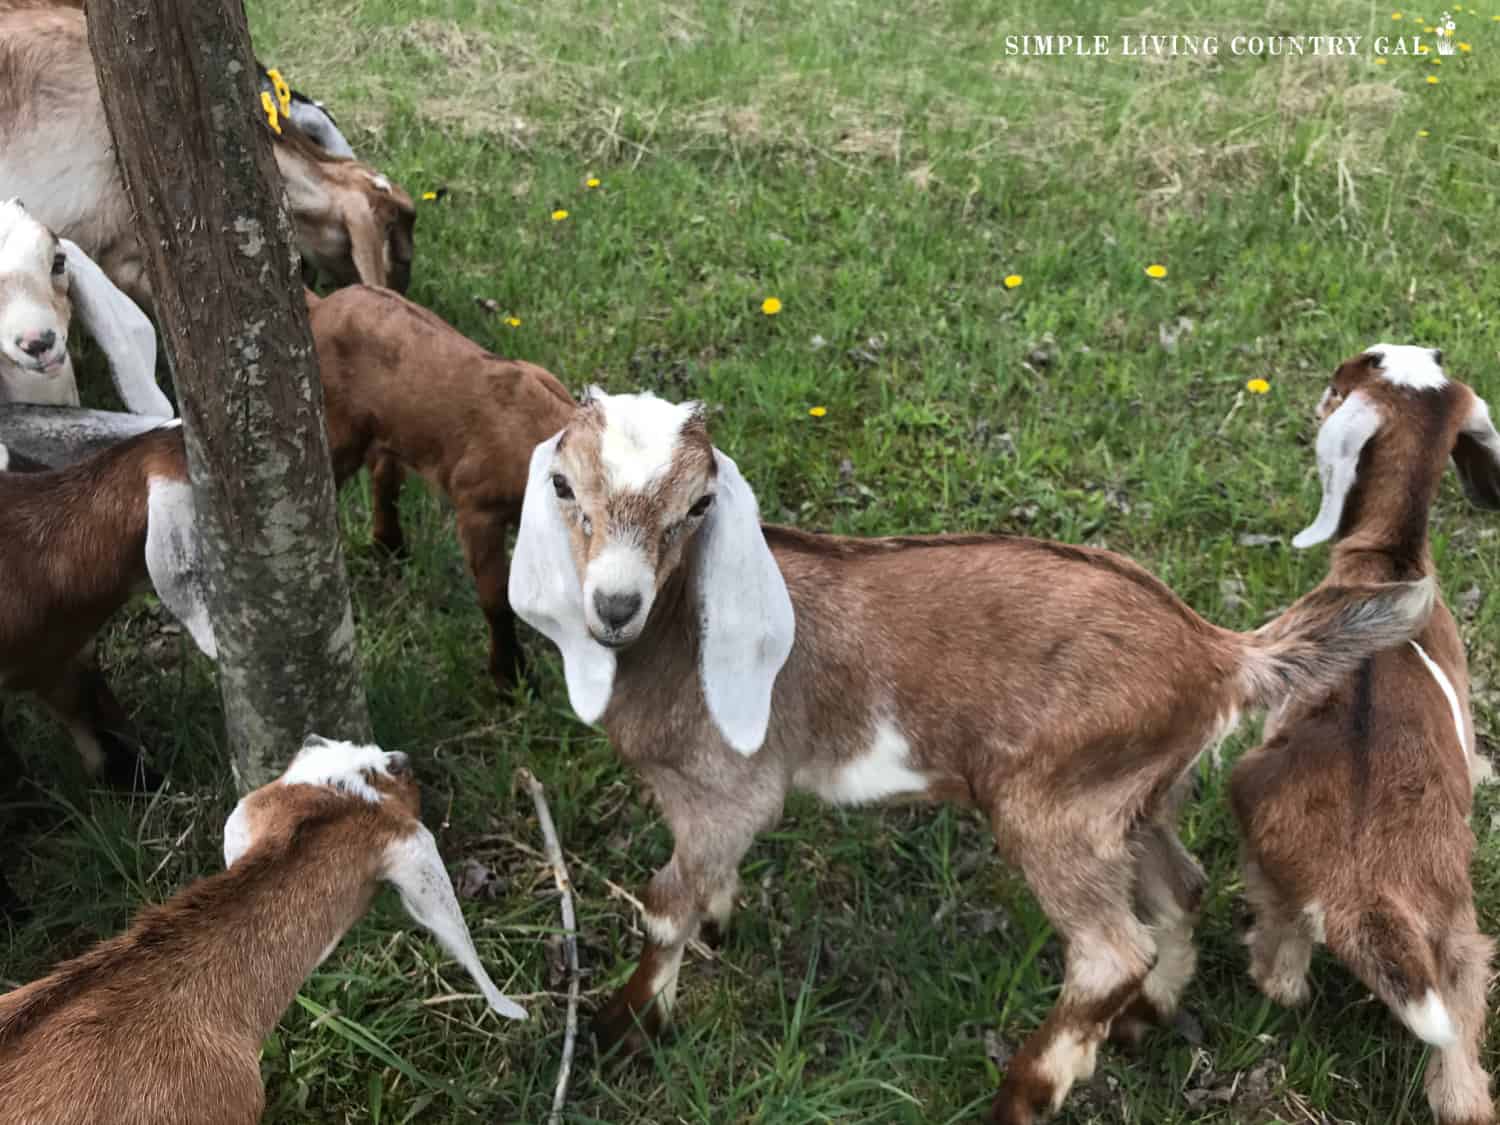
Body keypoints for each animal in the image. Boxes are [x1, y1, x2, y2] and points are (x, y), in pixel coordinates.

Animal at [308, 285, 577, 689]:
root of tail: (322, 304)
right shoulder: (476, 506)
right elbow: (496, 598)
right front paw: (510, 677)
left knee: (384, 473)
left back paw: (390, 547)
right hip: (341, 423)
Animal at [507, 387, 1436, 1125]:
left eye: (699, 504)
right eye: (563, 485)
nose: (615, 604)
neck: (675, 633)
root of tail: (1218, 654)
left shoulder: (727, 789)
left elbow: (666, 902)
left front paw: (624, 1026)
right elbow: (701, 891)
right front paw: (717, 921)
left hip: (1055, 804)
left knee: (1109, 948)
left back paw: (1025, 1092)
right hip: (1134, 796)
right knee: (1183, 888)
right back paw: (1146, 1013)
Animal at [1230, 345, 1500, 1125]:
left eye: (1357, 371)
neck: (1389, 562)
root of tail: (1364, 887)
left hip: (1271, 859)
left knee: (1283, 976)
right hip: (1459, 942)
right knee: (1461, 1084)